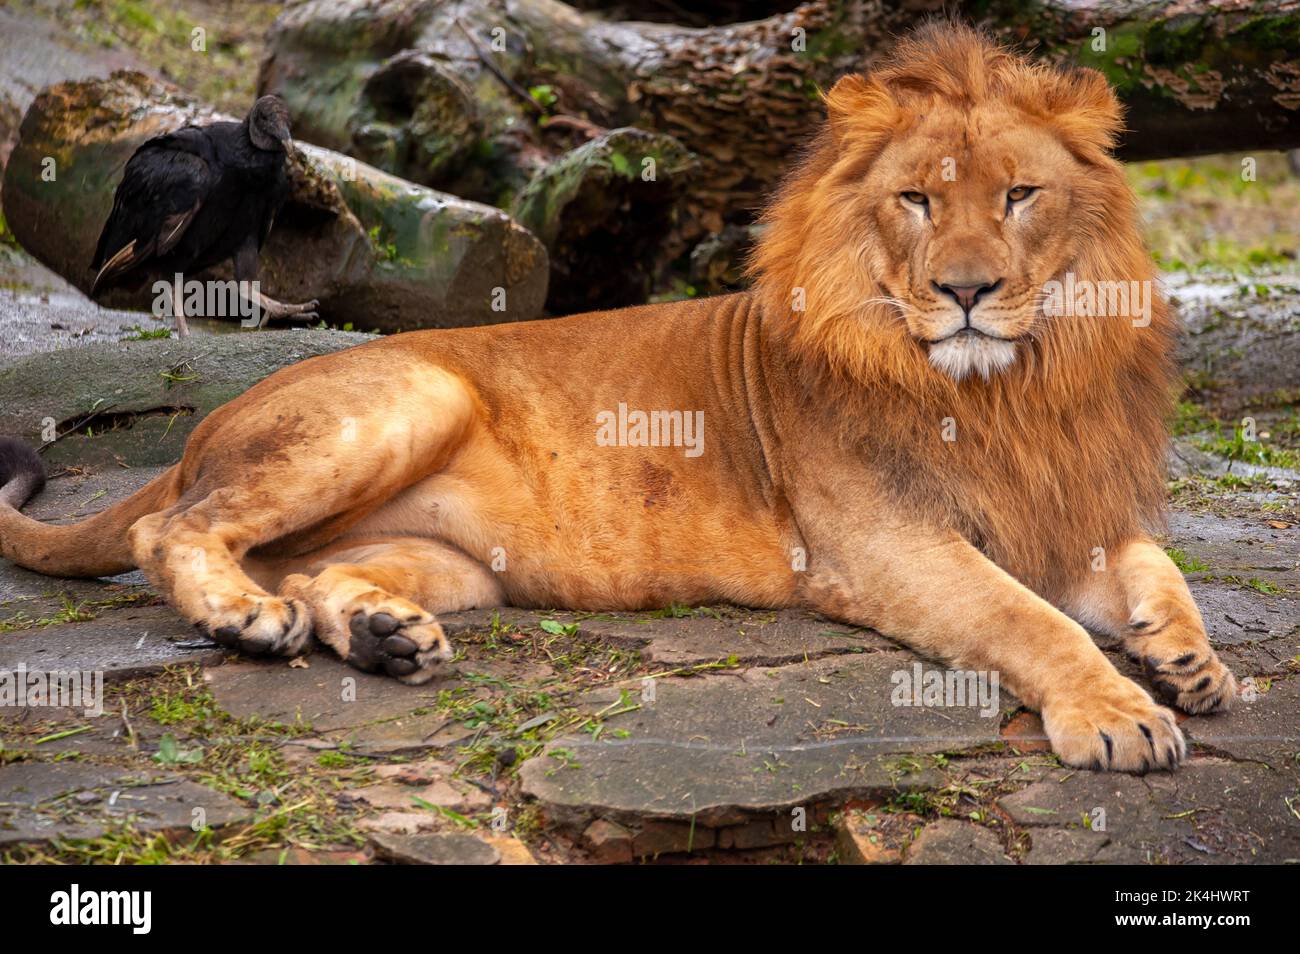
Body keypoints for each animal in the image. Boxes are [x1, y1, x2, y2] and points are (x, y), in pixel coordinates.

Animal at [0, 23, 1236, 773]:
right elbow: (1027, 619)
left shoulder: (1057, 508)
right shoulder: (885, 544)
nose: (968, 292)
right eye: (919, 202)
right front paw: (1118, 714)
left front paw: (1188, 660)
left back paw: (384, 636)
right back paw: (244, 619)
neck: (1005, 391)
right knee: (174, 528)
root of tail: (208, 421)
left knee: (304, 566)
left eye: (1020, 195)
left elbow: (1150, 562)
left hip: (453, 561)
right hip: (405, 398)